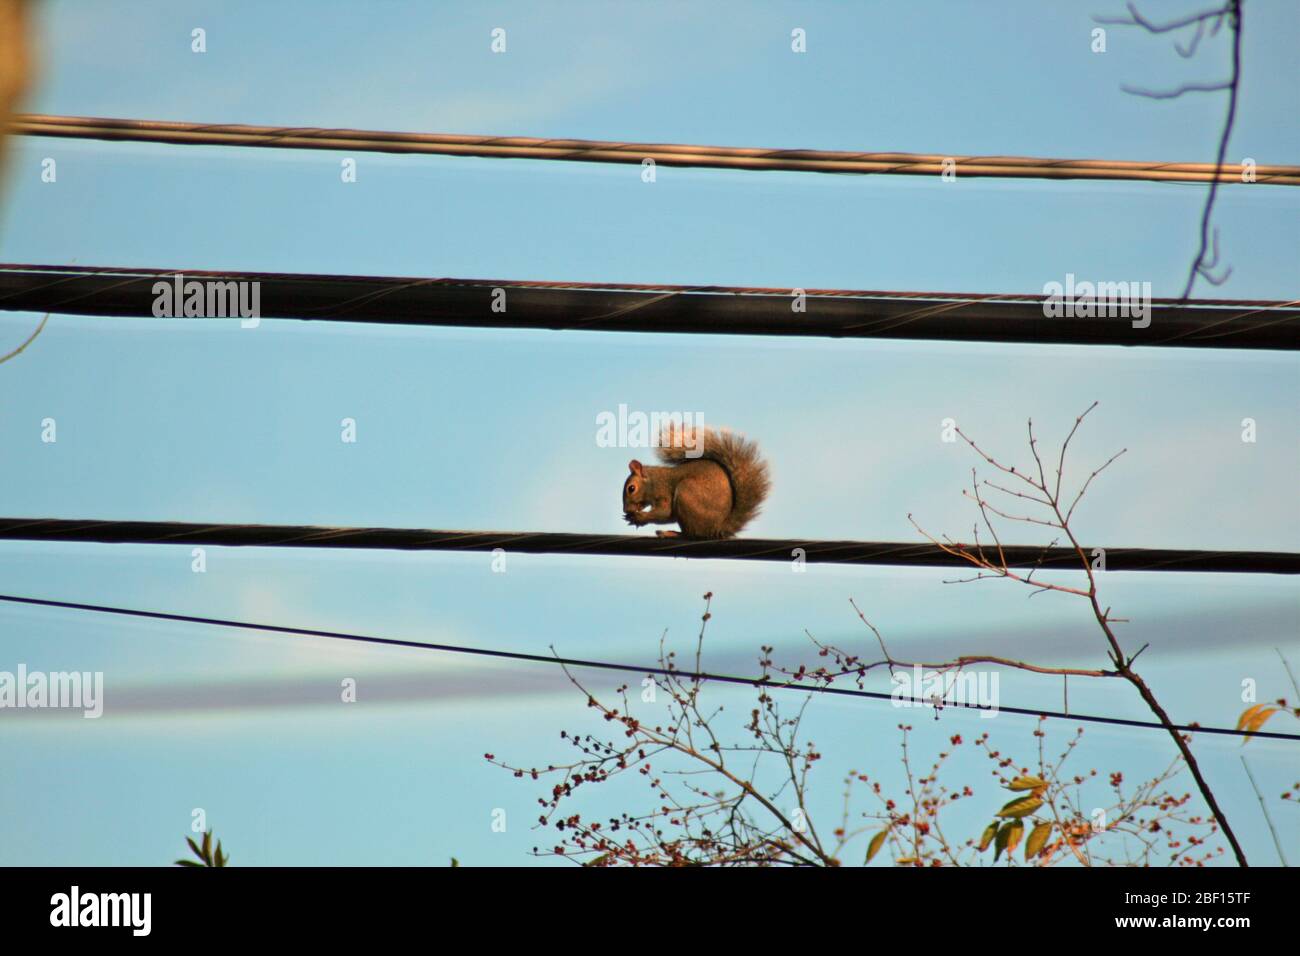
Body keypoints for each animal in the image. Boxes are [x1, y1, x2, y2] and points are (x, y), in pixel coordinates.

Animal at [622, 425, 770, 539]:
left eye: (631, 488)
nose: (626, 510)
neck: (653, 482)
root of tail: (718, 527)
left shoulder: (663, 492)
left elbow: (665, 512)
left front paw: (639, 517)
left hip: (686, 494)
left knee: (692, 534)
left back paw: (673, 534)